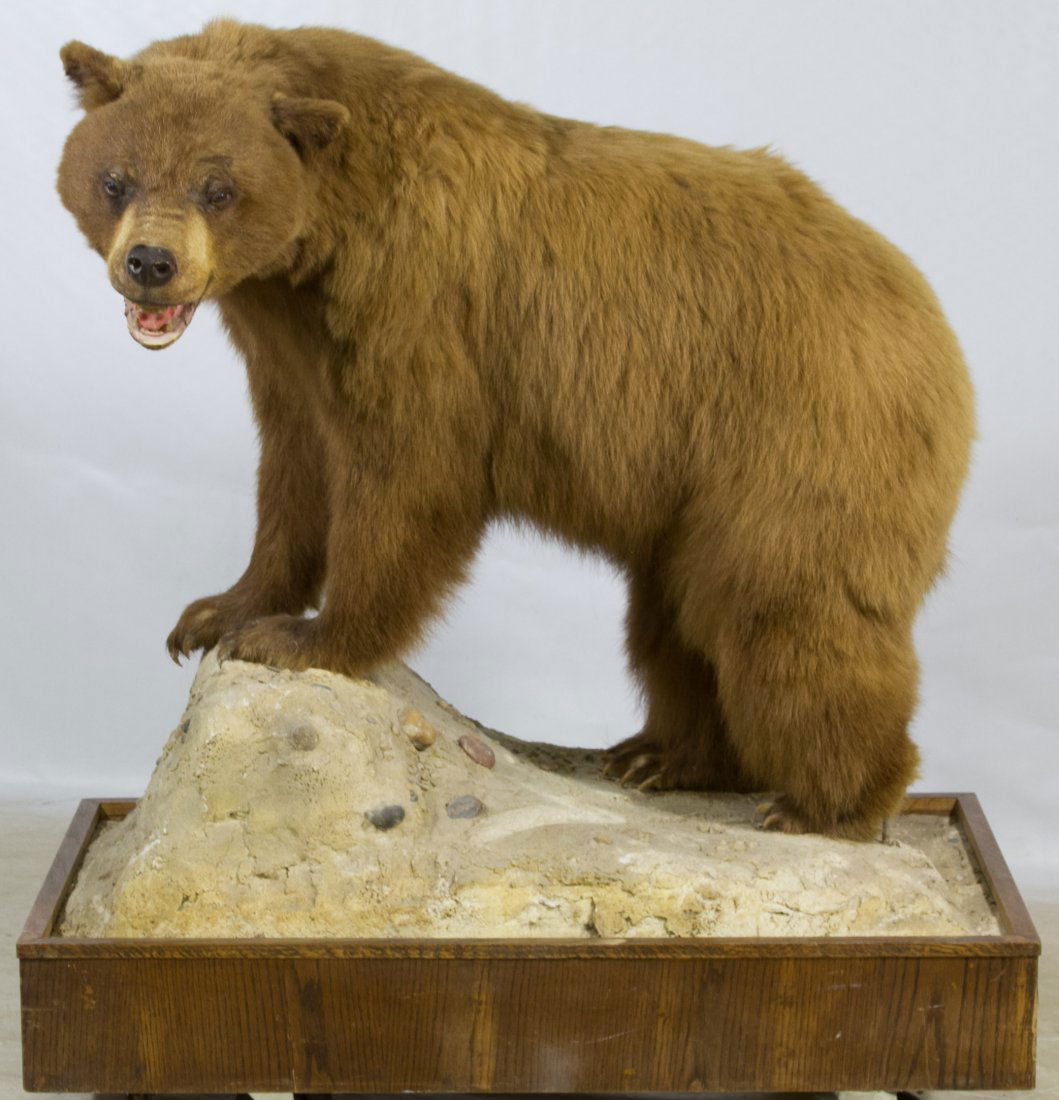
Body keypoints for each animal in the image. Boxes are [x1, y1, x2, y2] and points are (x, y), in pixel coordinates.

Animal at [57, 19, 974, 840]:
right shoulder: (288, 347)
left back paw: (828, 805)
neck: (320, 244)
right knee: (675, 623)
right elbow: (294, 472)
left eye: (218, 187)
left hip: (796, 433)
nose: (151, 264)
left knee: (778, 611)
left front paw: (306, 637)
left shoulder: (417, 304)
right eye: (116, 177)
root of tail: (930, 322)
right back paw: (663, 756)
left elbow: (408, 474)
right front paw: (217, 613)